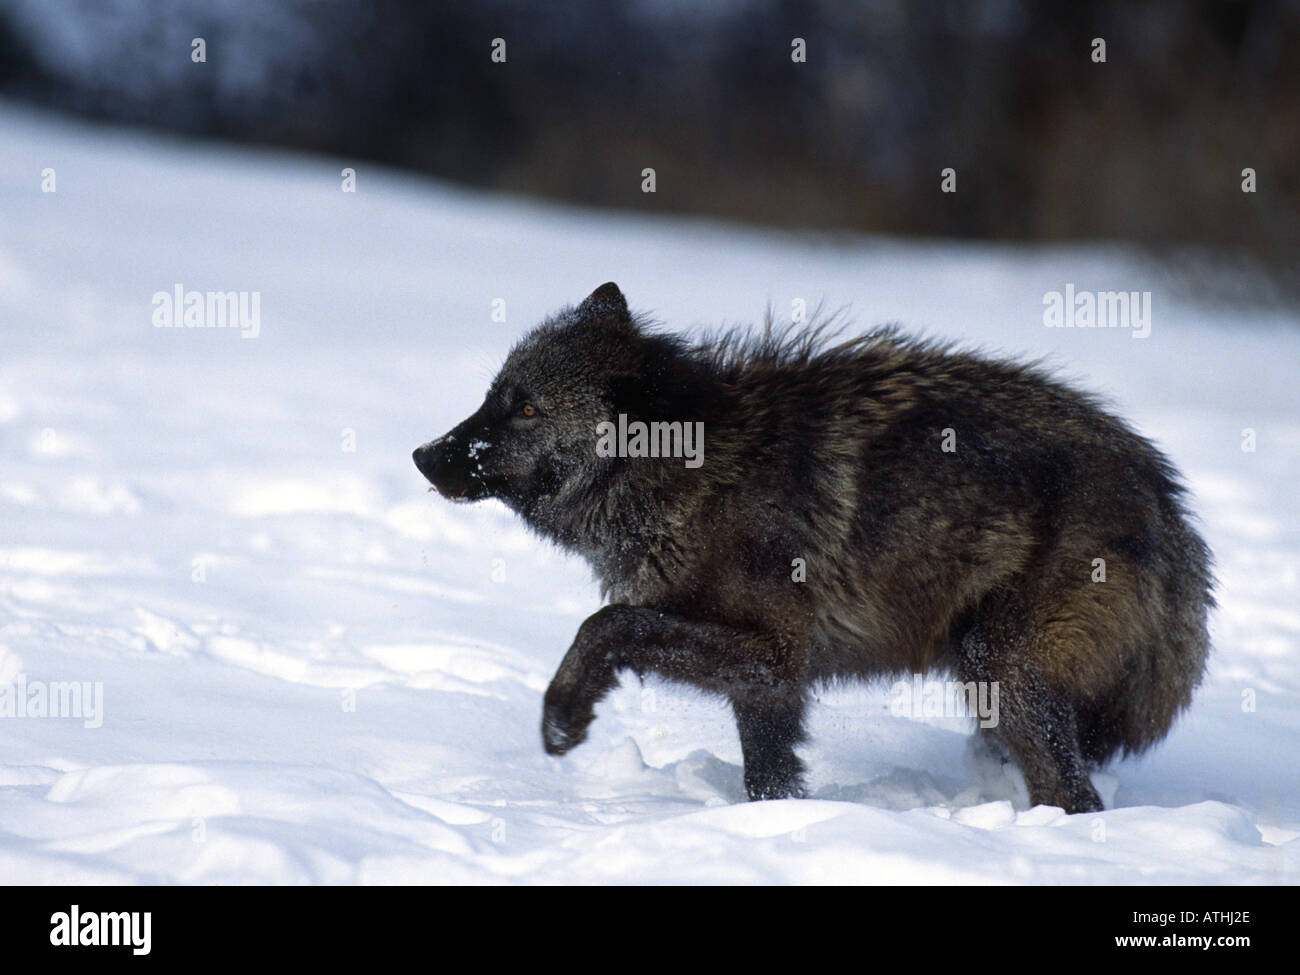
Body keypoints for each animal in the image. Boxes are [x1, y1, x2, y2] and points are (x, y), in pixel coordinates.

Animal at [413, 283, 1213, 813]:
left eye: (526, 407)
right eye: (491, 396)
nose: (423, 455)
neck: (694, 476)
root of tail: (1167, 498)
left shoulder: (774, 652)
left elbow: (607, 624)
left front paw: (563, 715)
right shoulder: (767, 686)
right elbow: (766, 779)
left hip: (1000, 674)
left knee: (1074, 794)